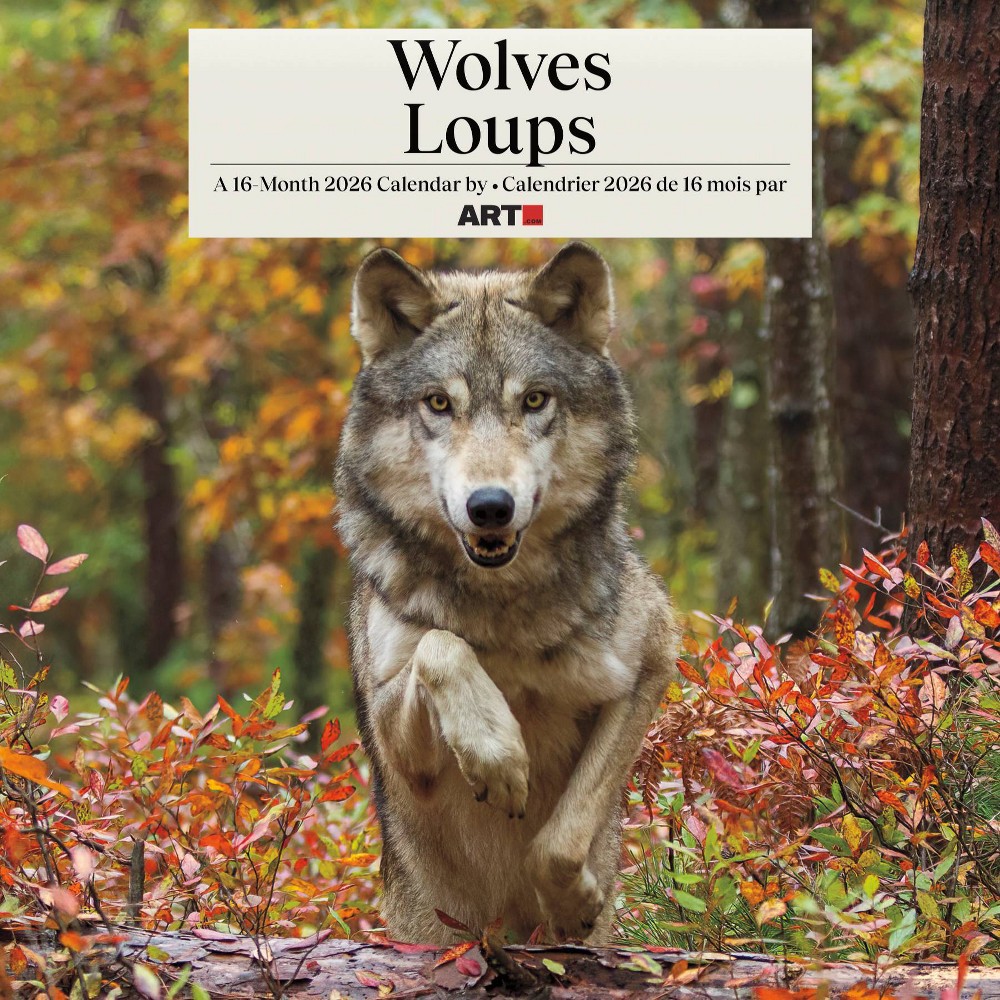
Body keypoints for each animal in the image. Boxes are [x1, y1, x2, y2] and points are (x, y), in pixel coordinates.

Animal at [334, 242, 679, 945]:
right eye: (439, 403)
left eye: (535, 400)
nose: (489, 506)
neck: (503, 607)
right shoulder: (399, 745)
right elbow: (440, 646)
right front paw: (498, 755)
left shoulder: (651, 662)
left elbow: (559, 844)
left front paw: (573, 904)